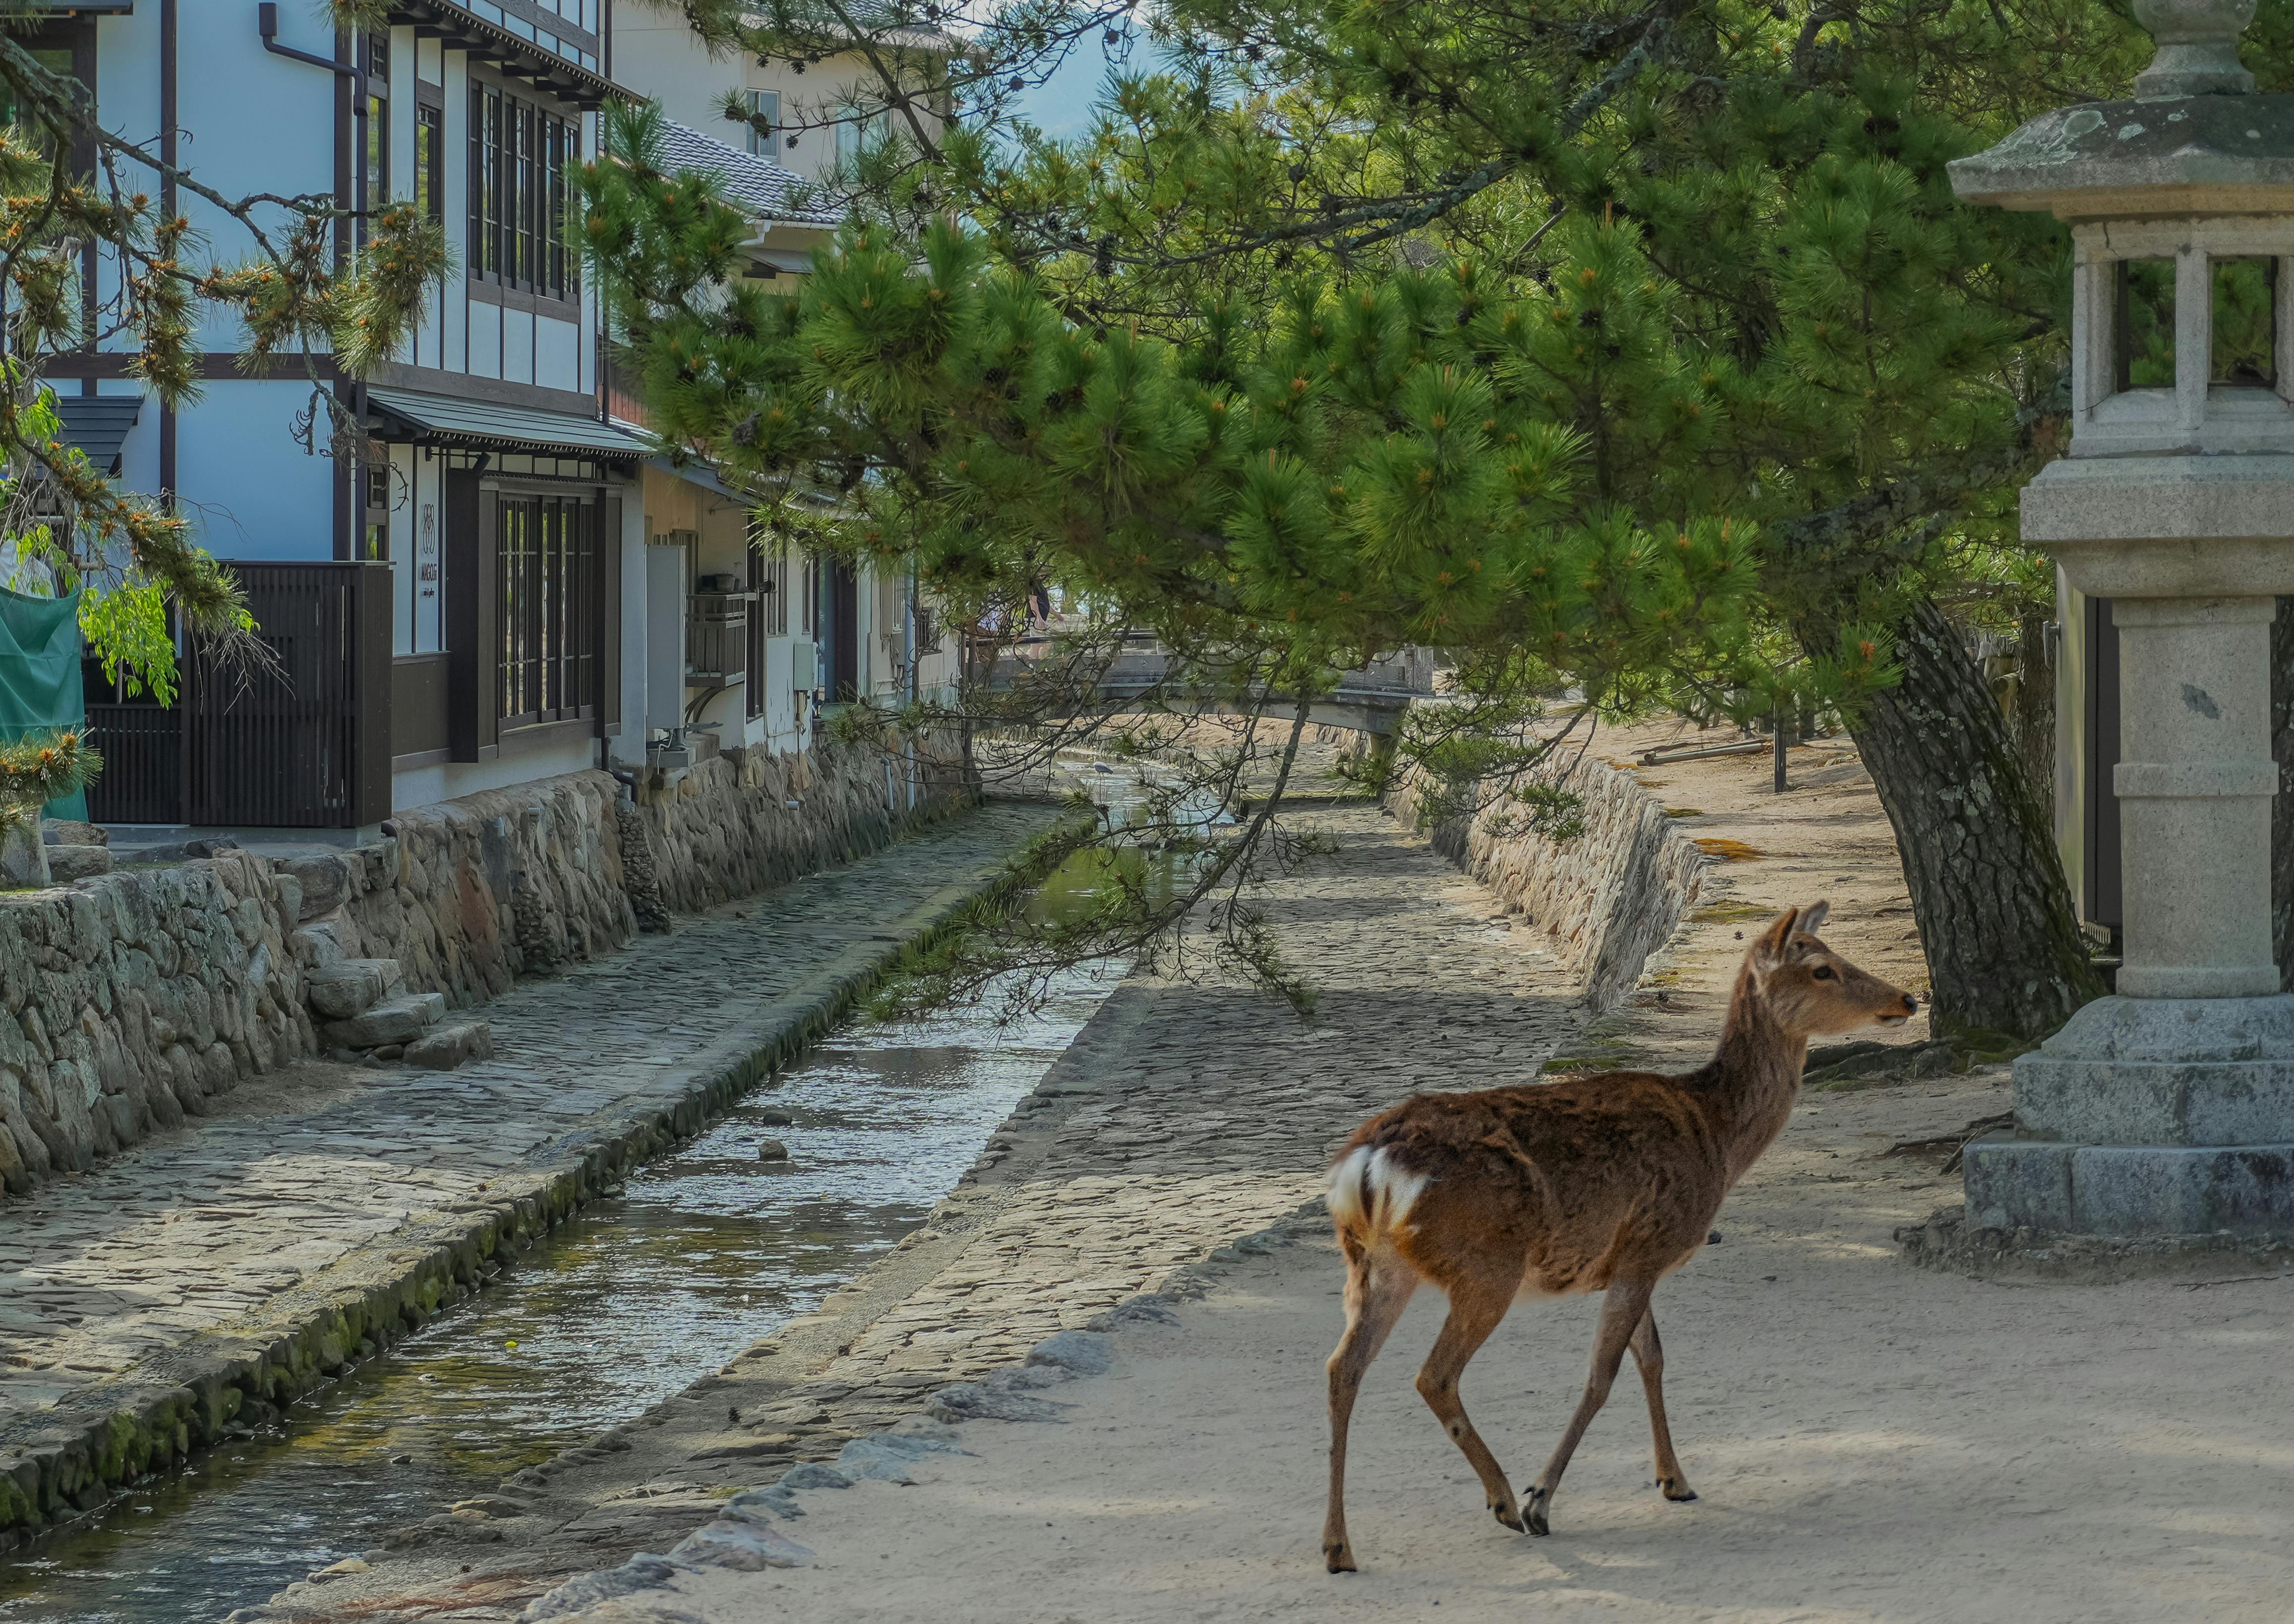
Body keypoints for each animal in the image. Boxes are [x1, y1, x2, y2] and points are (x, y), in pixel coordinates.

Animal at [1320, 901, 1918, 1573]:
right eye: (1821, 968)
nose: (1905, 998)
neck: (1717, 1136)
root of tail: (1366, 1164)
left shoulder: (1633, 1258)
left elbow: (1651, 1360)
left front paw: (1674, 1480)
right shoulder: (1648, 1247)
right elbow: (1602, 1374)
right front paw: (1542, 1499)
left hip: (1374, 1266)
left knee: (1342, 1369)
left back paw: (1338, 1546)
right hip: (1486, 1264)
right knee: (1433, 1375)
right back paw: (1503, 1500)